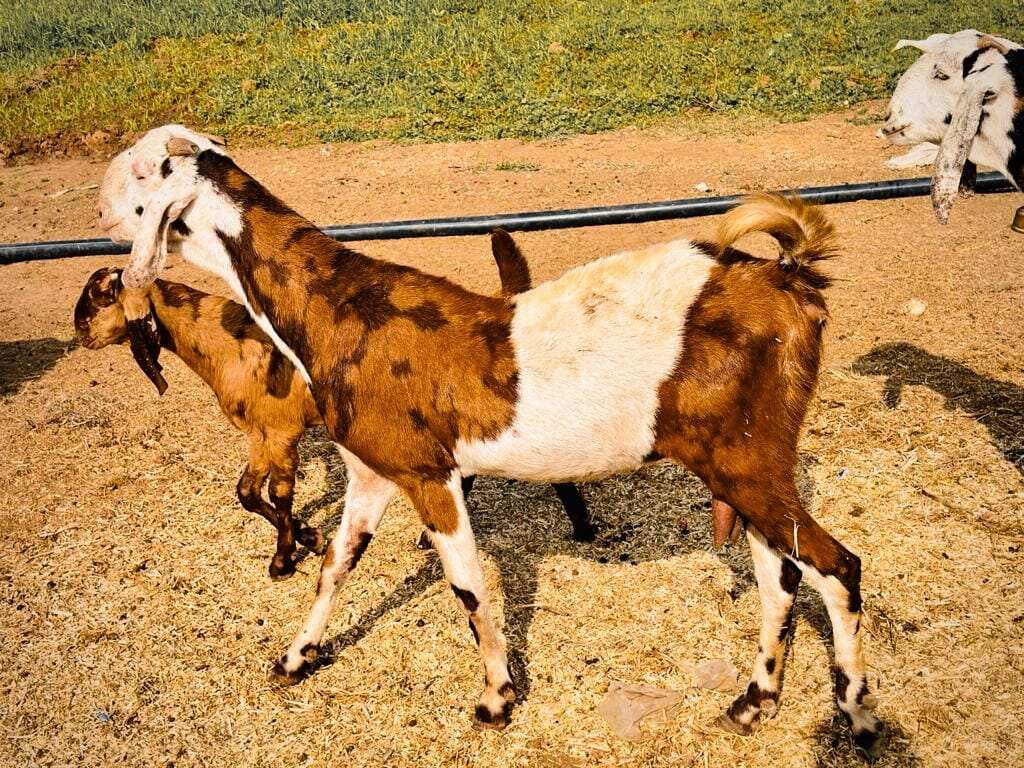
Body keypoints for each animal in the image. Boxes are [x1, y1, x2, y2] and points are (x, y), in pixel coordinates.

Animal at [101, 125, 882, 753]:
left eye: (141, 169)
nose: (98, 211)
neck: (337, 309)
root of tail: (792, 279)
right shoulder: (371, 473)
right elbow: (335, 567)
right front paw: (296, 658)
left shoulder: (429, 474)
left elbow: (468, 587)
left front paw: (496, 700)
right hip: (745, 464)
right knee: (781, 578)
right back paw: (755, 702)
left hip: (748, 458)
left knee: (837, 567)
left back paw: (857, 716)